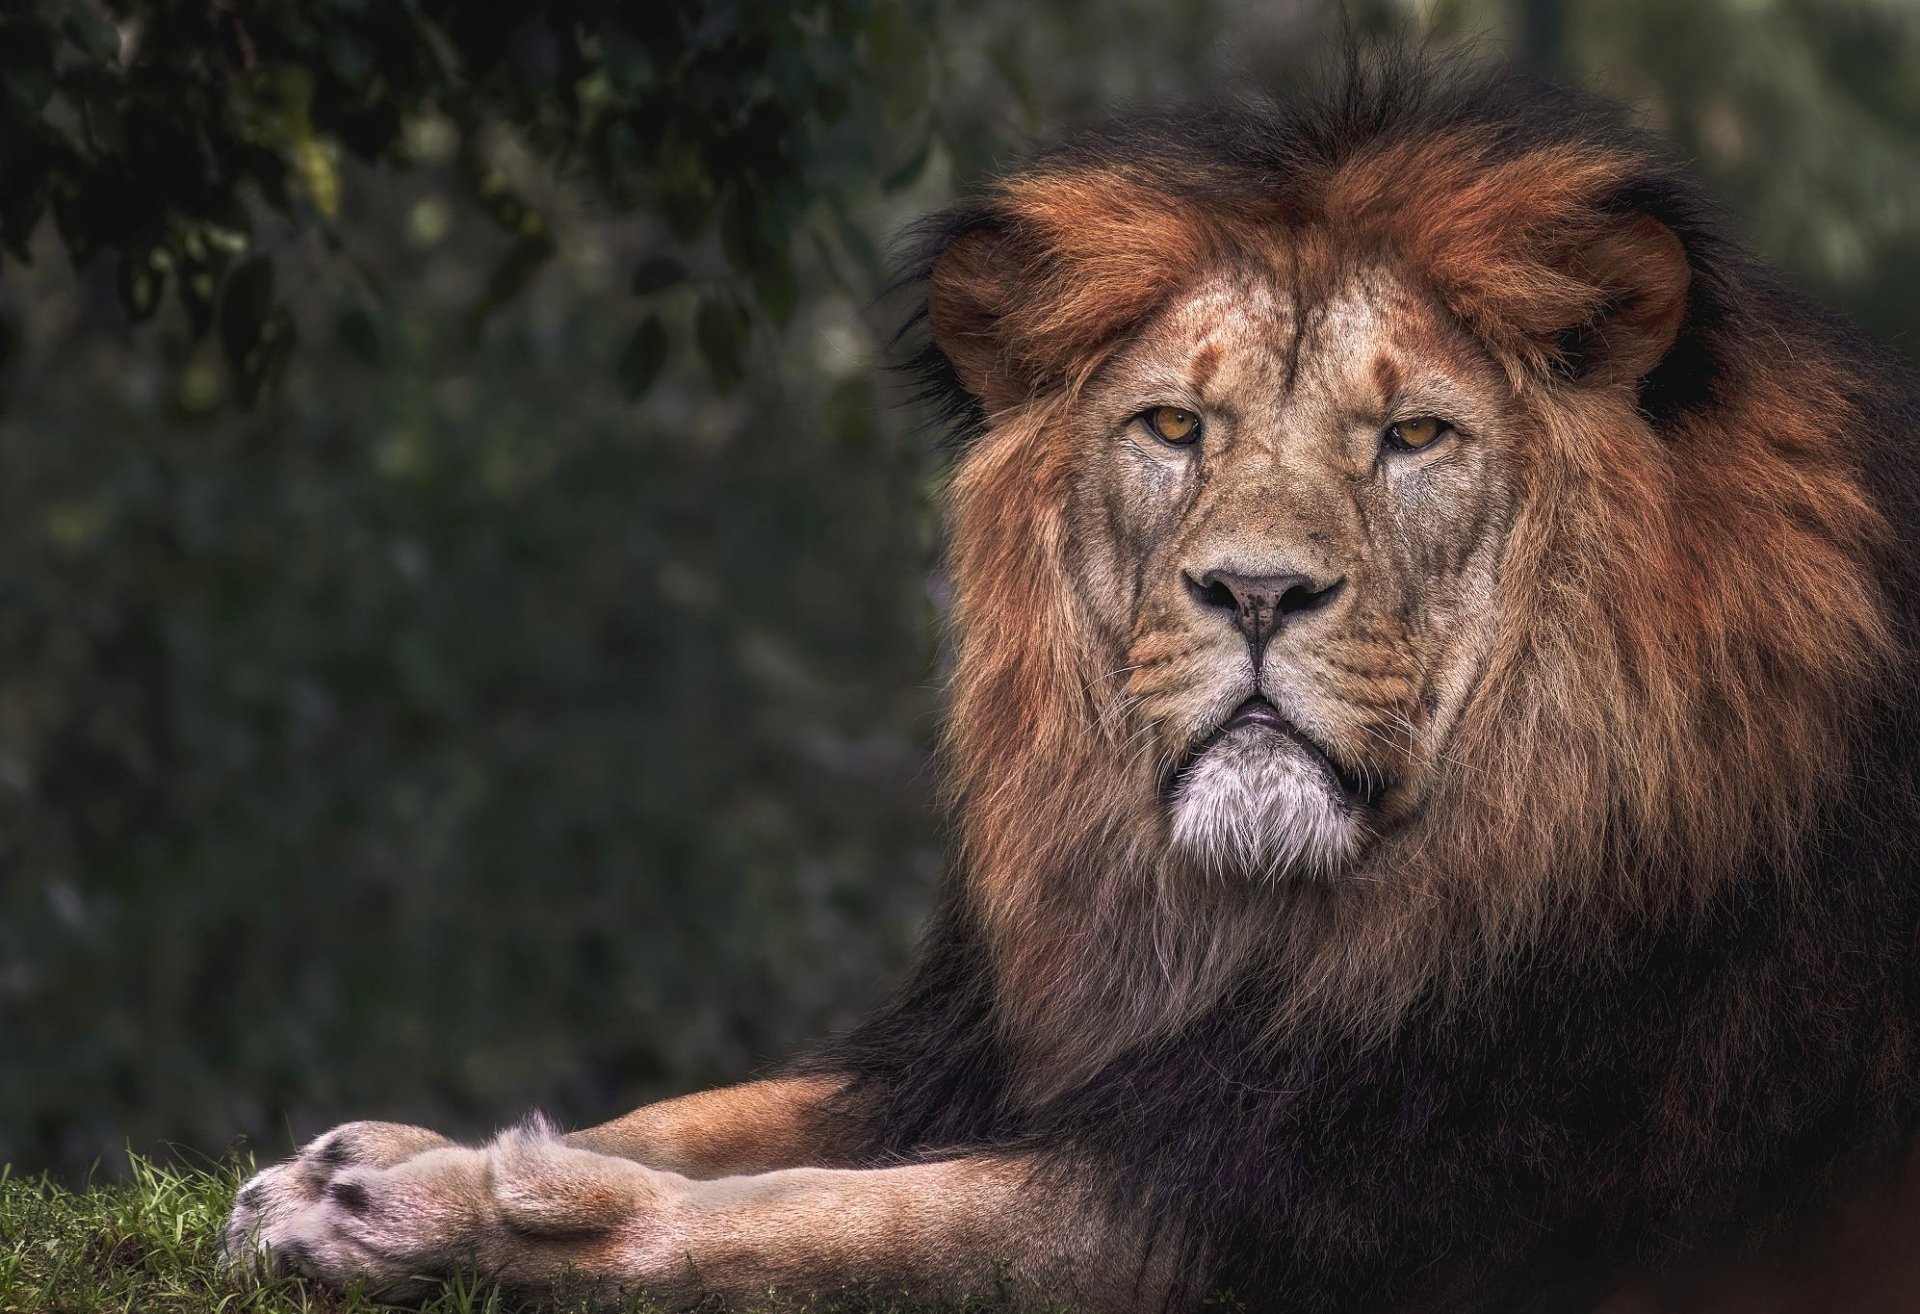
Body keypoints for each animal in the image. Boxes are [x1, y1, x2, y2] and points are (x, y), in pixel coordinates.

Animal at [224, 53, 1920, 1313]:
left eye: (1414, 437)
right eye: (1174, 428)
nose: (1255, 590)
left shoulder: (1315, 1207)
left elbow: (838, 1225)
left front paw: (461, 1212)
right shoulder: (1021, 1061)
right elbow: (719, 1119)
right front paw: (372, 1161)